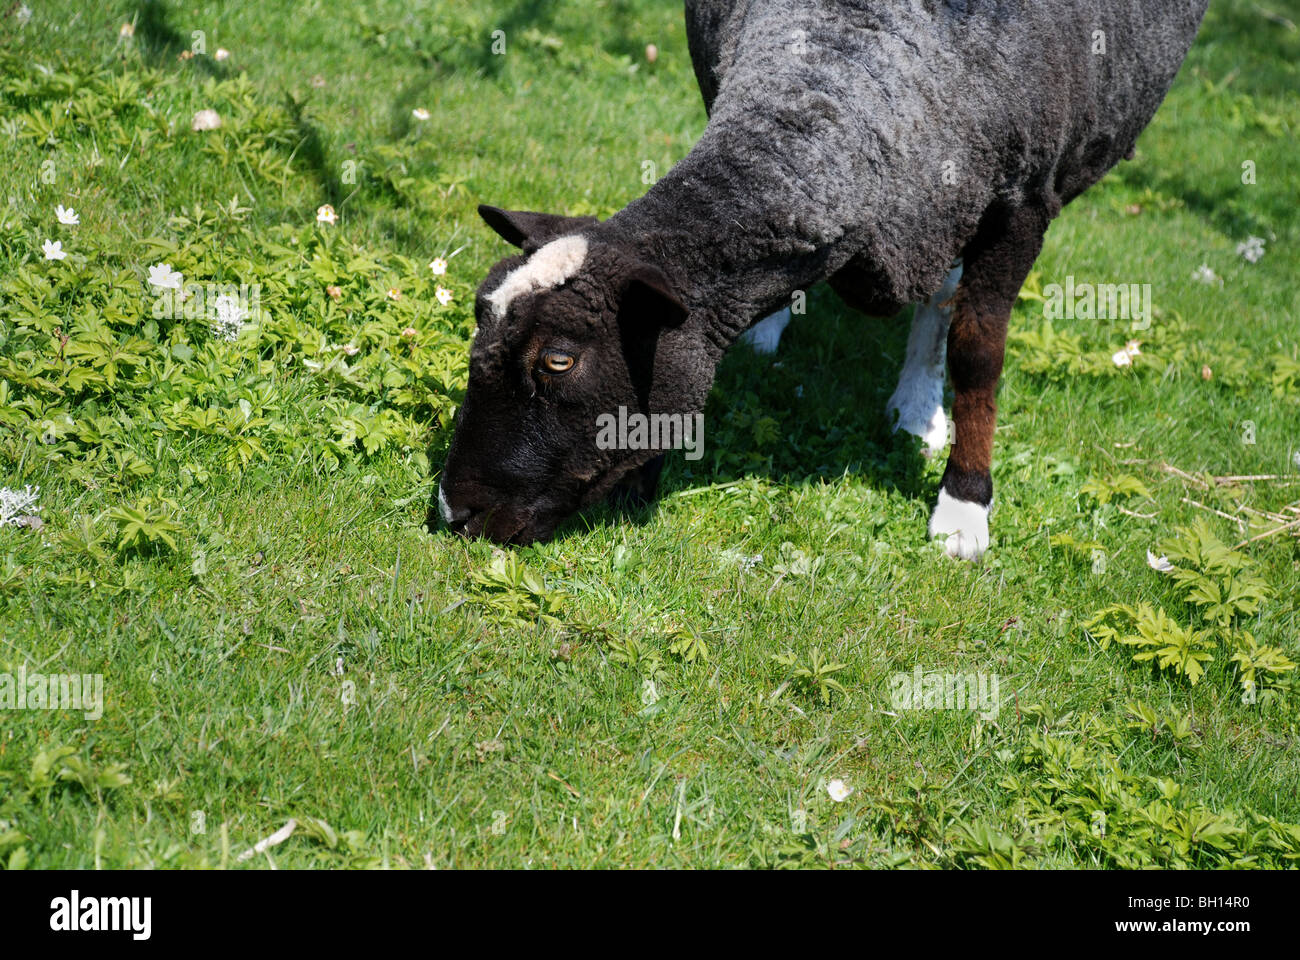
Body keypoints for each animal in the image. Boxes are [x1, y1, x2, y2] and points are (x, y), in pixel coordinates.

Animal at [433, 0, 1209, 552]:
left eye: (559, 360)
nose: (453, 510)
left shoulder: (1023, 200)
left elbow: (978, 352)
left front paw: (964, 510)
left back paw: (918, 404)